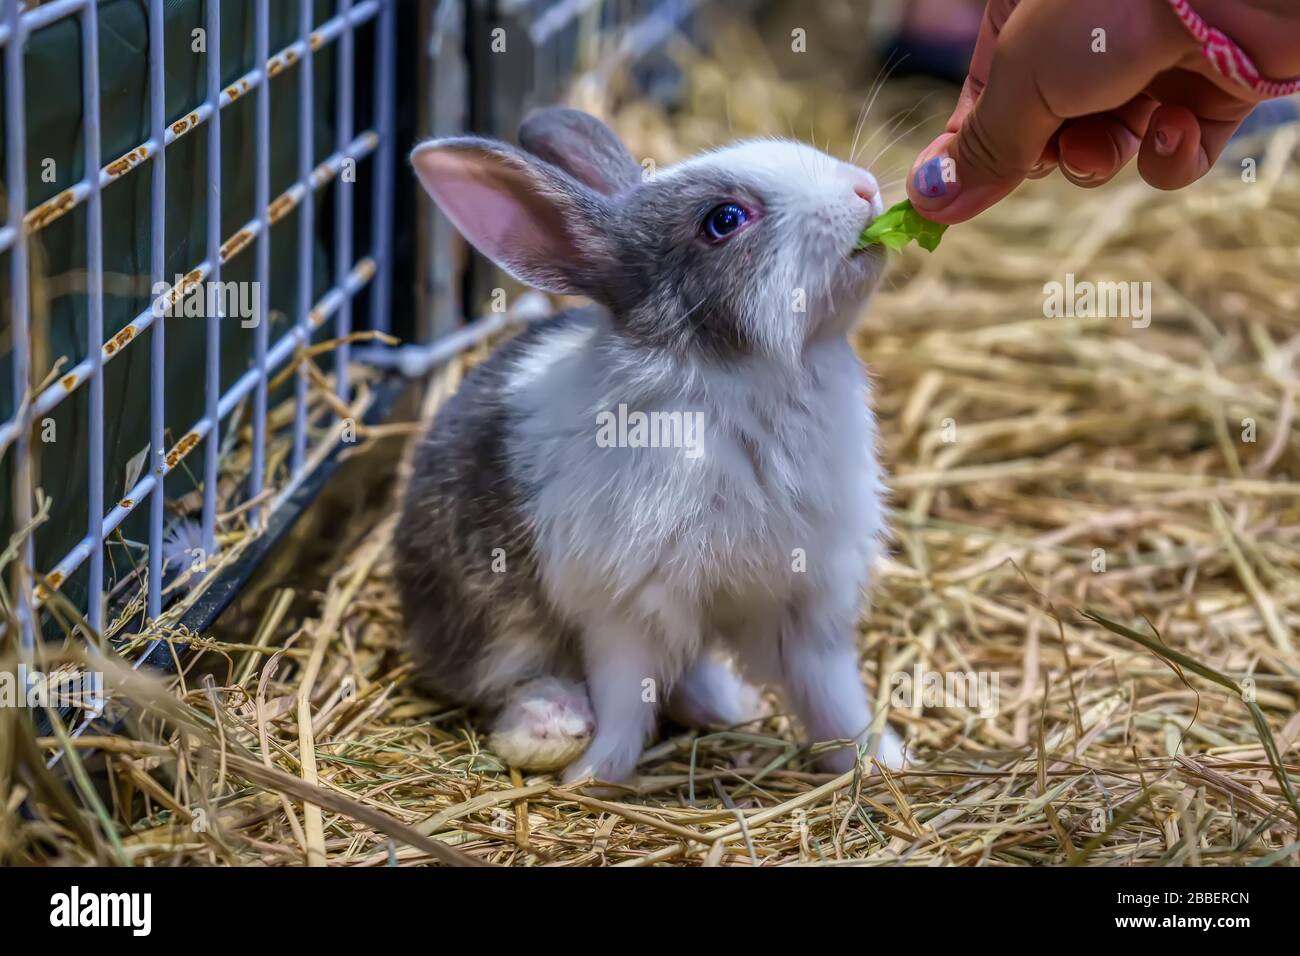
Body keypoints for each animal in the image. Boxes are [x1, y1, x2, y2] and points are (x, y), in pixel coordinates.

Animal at [396, 107, 904, 784]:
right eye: (724, 220)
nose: (864, 189)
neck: (744, 382)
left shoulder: (808, 606)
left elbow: (834, 698)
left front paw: (882, 762)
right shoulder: (625, 613)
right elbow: (624, 704)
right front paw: (592, 777)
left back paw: (729, 705)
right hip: (498, 629)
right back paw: (554, 723)